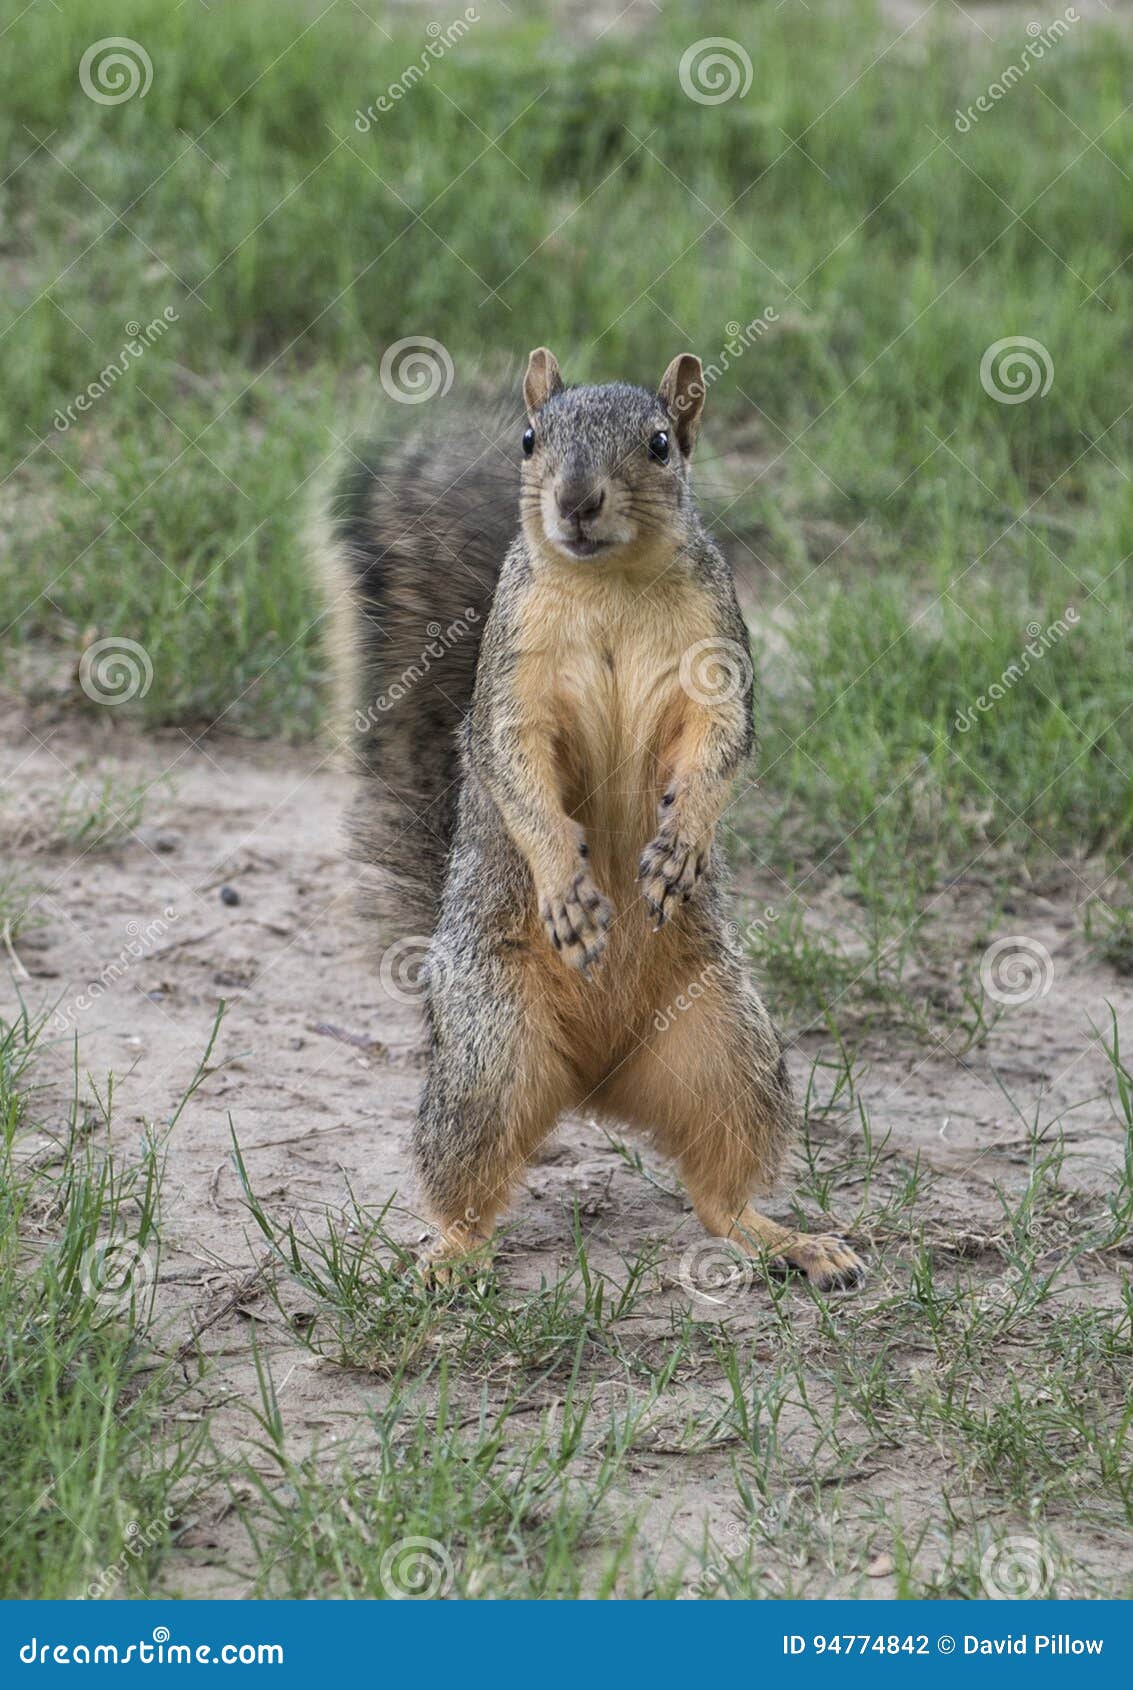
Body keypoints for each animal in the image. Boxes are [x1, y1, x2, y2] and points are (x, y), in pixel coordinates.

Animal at [319, 348, 865, 1293]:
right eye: (529, 438)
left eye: (658, 444)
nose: (574, 500)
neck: (607, 583)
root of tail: (593, 1083)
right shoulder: (513, 677)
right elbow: (516, 768)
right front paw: (568, 888)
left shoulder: (718, 657)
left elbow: (720, 744)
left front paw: (680, 845)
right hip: (489, 1049)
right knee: (465, 1183)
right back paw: (447, 1258)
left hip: (727, 1048)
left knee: (719, 1193)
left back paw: (791, 1242)